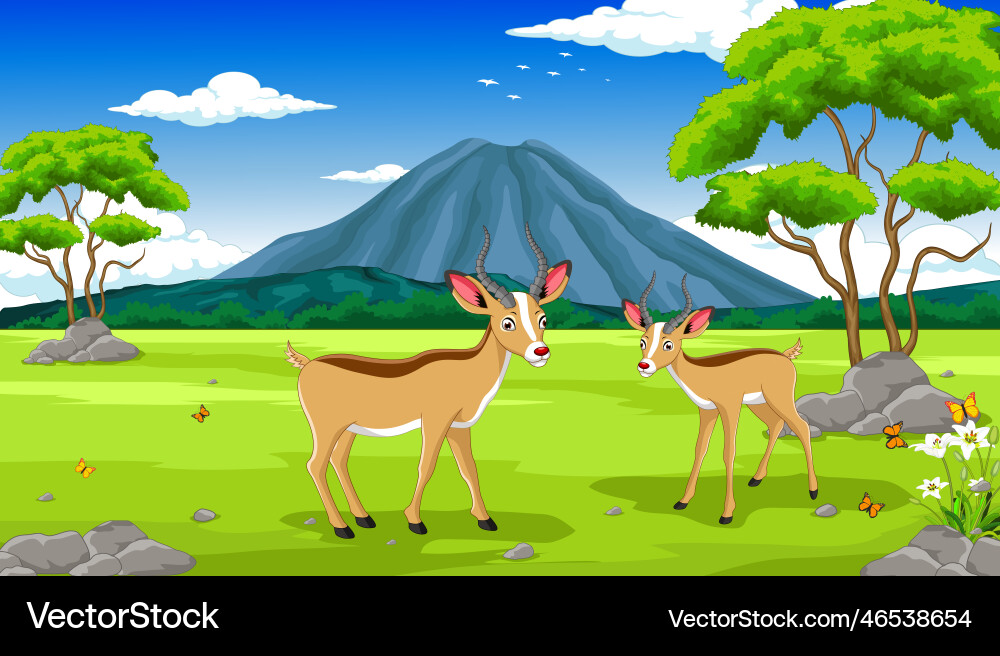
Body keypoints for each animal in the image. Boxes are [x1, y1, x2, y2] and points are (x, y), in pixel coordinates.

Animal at [285, 224, 571, 539]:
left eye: (543, 319)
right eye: (507, 322)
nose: (540, 352)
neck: (466, 368)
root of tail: (309, 363)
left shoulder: (459, 428)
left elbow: (469, 468)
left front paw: (485, 520)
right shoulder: (436, 421)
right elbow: (427, 465)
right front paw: (415, 521)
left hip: (349, 429)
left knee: (338, 462)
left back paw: (364, 518)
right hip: (326, 427)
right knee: (315, 465)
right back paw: (342, 528)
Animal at [620, 272, 818, 525]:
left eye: (668, 343)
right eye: (642, 341)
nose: (644, 366)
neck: (702, 373)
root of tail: (784, 356)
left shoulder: (729, 407)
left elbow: (729, 451)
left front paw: (727, 513)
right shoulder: (707, 411)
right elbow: (699, 449)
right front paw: (682, 501)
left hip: (779, 399)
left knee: (801, 426)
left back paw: (813, 491)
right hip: (759, 404)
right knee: (776, 424)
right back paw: (756, 479)